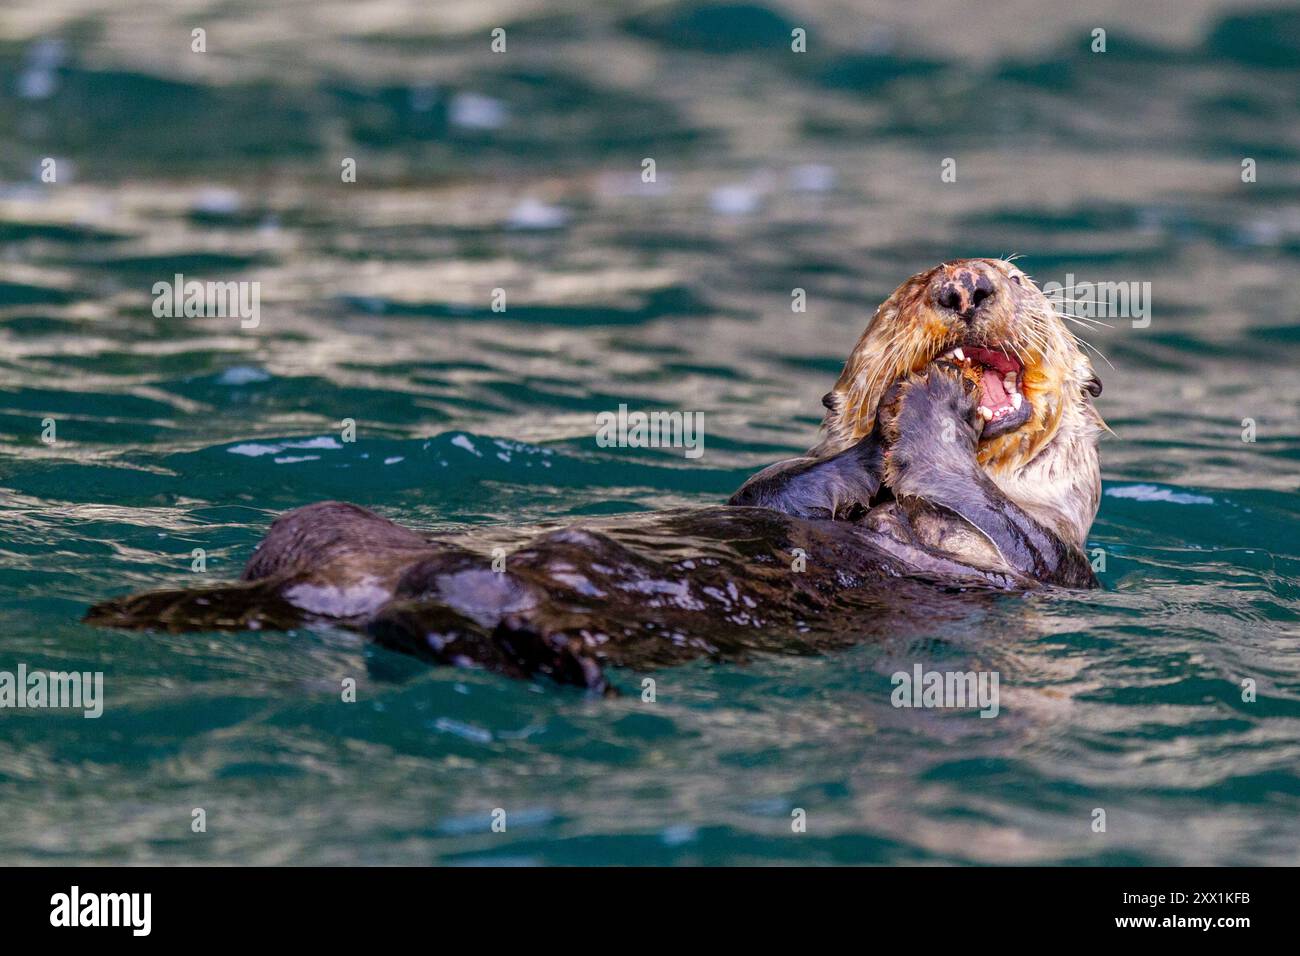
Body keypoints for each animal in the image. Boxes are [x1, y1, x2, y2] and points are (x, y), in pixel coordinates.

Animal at [86, 259, 1105, 693]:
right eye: (903, 293)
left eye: (1017, 279)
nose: (965, 284)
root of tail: (339, 593)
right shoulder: (780, 492)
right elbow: (773, 490)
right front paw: (875, 429)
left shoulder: (1050, 563)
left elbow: (1000, 520)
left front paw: (926, 415)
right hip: (321, 523)